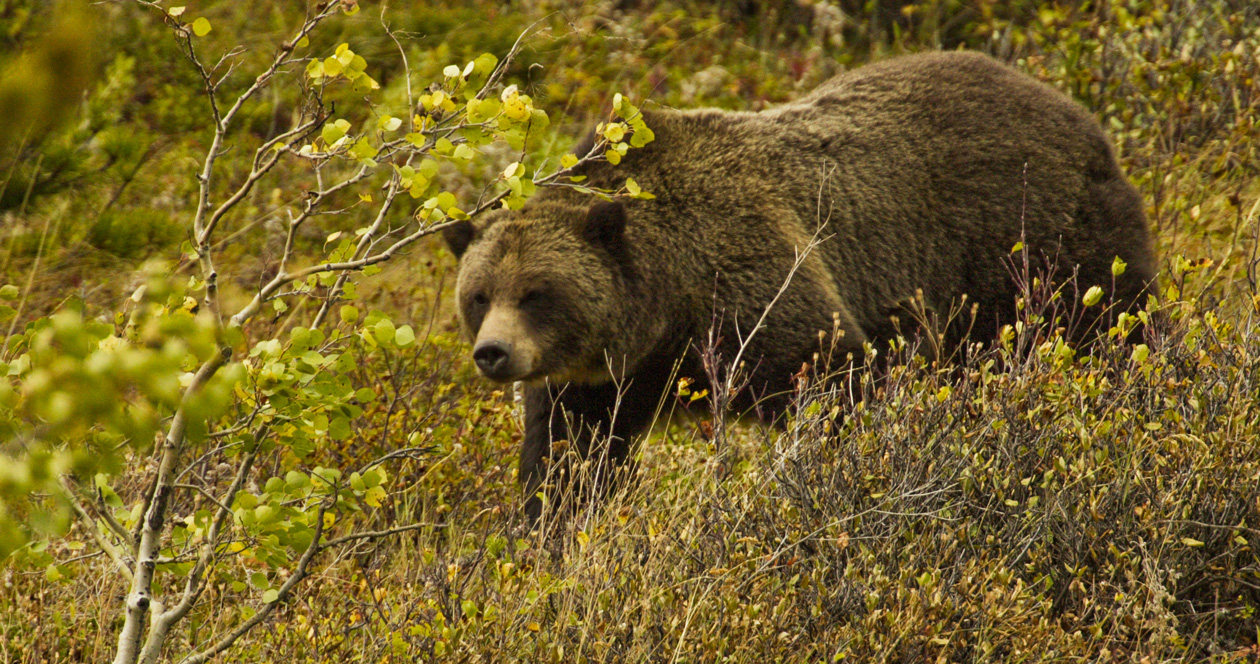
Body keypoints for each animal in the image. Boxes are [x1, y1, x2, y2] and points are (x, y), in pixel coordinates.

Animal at [443, 51, 1158, 523]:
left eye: (537, 291)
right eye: (479, 295)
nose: (494, 353)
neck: (666, 306)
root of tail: (1075, 112)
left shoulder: (751, 289)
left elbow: (836, 381)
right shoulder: (600, 382)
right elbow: (569, 457)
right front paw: (550, 529)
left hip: (1037, 247)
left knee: (1117, 335)